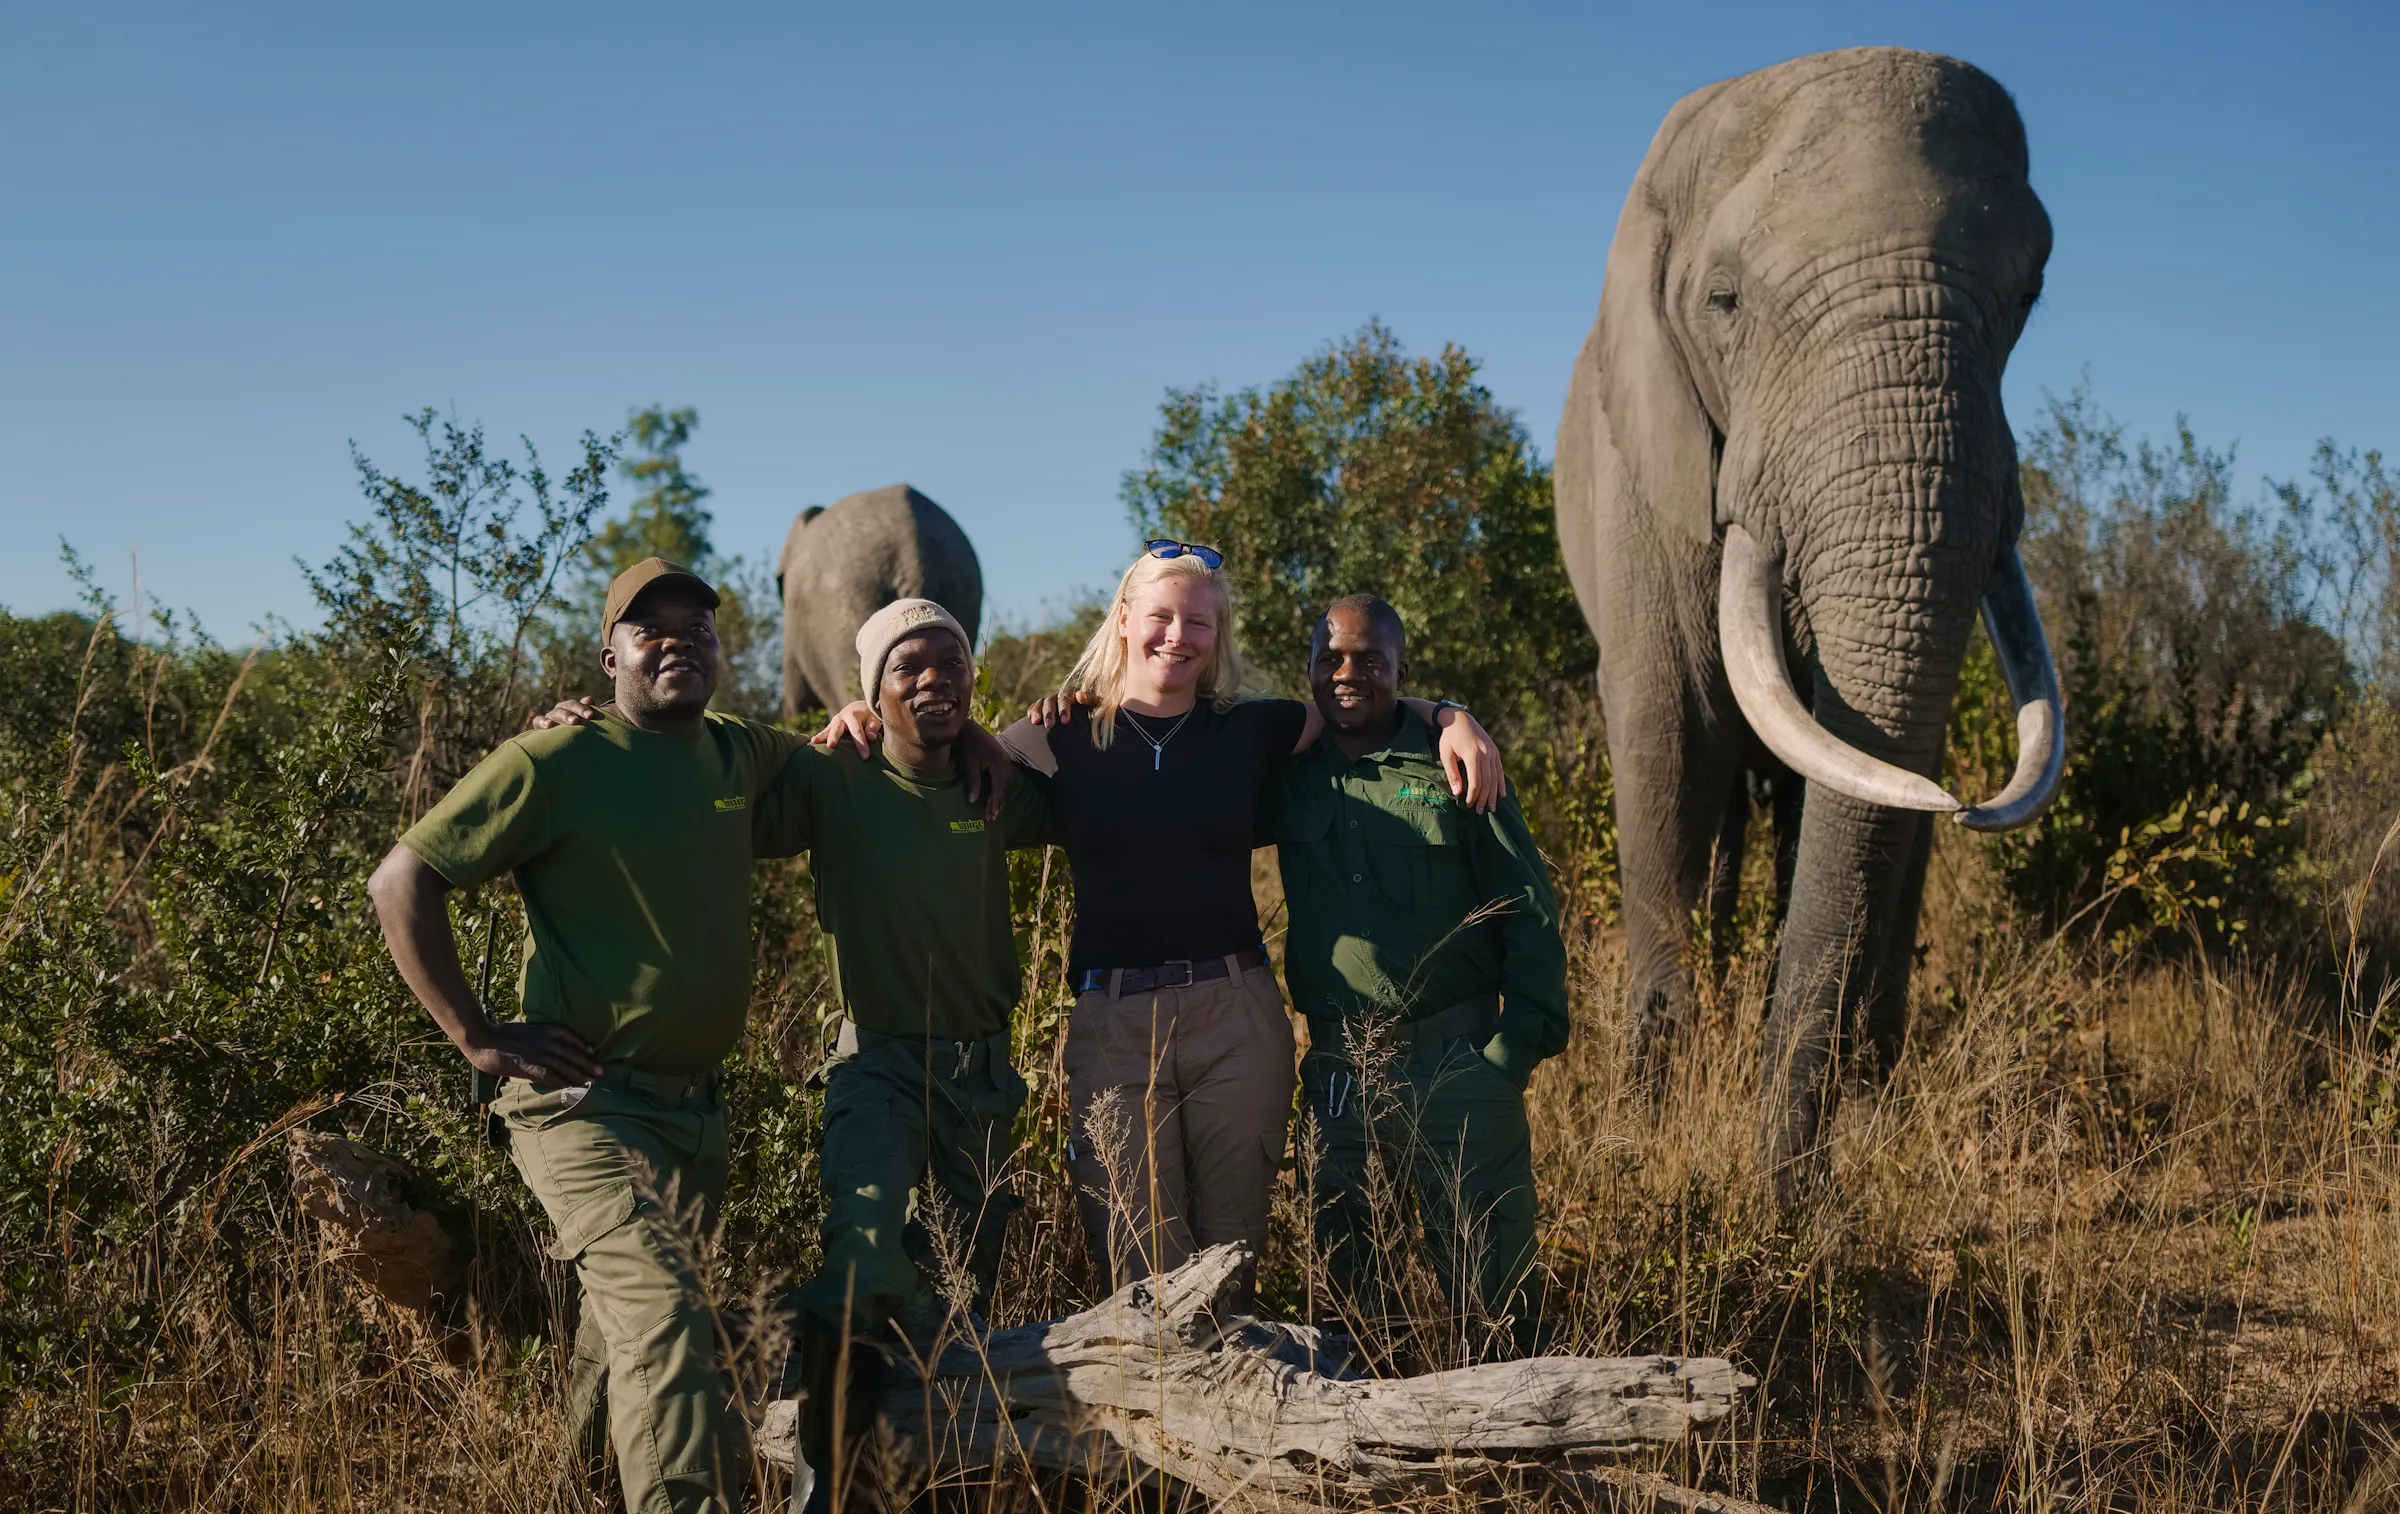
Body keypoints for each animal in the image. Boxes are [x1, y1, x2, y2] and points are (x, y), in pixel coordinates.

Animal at [1553, 47, 2065, 1201]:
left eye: (2030, 292)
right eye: (1725, 301)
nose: (1784, 1199)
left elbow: (1885, 768)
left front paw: (1861, 1112)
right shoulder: (1643, 463)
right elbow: (1670, 726)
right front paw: (1641, 1130)